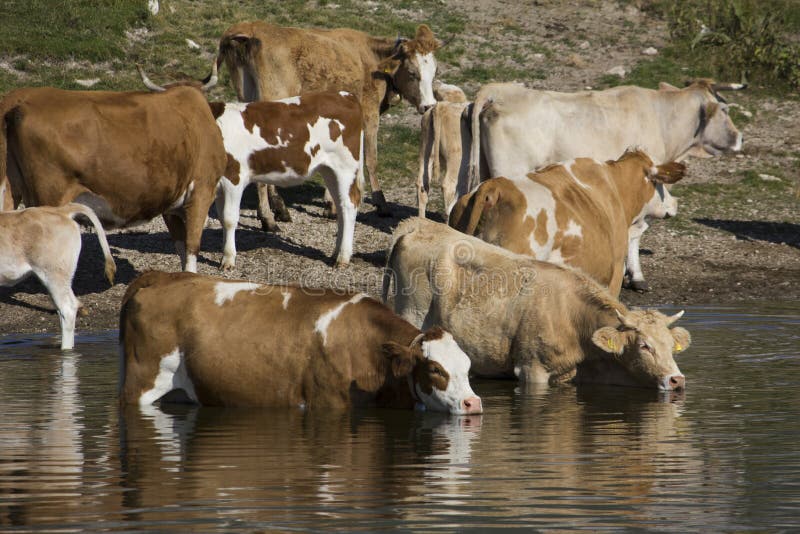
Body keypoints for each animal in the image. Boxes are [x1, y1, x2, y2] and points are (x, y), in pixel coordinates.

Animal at [0, 80, 227, 272]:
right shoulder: (202, 191)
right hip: (51, 195)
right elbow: (192, 246)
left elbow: (181, 246)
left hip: (10, 189)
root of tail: (17, 100)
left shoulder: (172, 203)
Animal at [119, 270, 483, 414]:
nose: (473, 403)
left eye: (468, 368)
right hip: (141, 381)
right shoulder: (328, 402)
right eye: (434, 369)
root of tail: (159, 277)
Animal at [215, 21, 442, 224]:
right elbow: (371, 159)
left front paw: (331, 203)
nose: (429, 105)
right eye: (412, 73)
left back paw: (277, 210)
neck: (373, 59)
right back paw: (269, 217)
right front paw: (381, 204)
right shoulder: (369, 115)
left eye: (434, 73)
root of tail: (250, 28)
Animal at [382, 217, 691, 390]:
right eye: (644, 346)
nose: (677, 379)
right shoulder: (533, 370)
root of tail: (419, 226)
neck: (573, 317)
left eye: (670, 346)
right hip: (411, 312)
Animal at [468, 79, 745, 291]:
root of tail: (498, 91)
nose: (741, 138)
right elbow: (638, 230)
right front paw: (636, 276)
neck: (662, 119)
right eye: (725, 110)